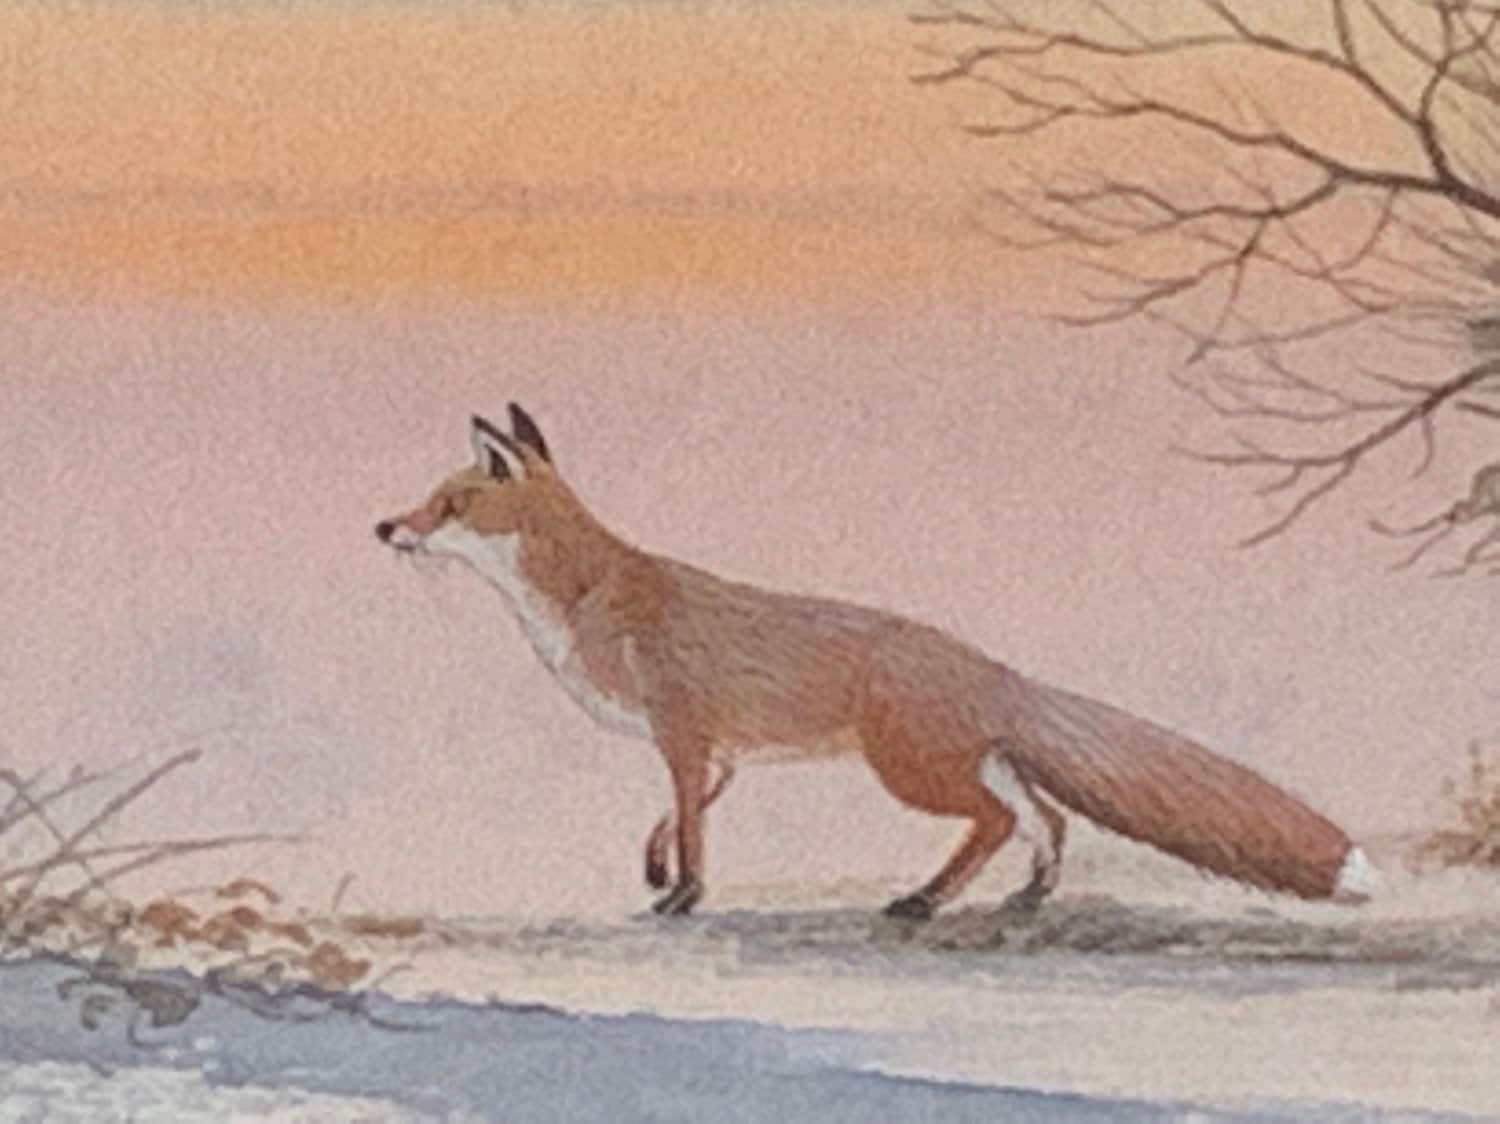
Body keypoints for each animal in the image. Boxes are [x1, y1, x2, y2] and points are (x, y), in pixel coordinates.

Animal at [375, 405, 1381, 919]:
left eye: (447, 504)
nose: (384, 527)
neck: (582, 600)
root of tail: (993, 666)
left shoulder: (684, 731)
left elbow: (693, 830)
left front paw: (683, 896)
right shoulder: (718, 754)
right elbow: (675, 819)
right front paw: (657, 870)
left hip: (909, 772)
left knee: (1002, 821)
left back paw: (925, 901)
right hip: (959, 762)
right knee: (1046, 817)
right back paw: (1025, 896)